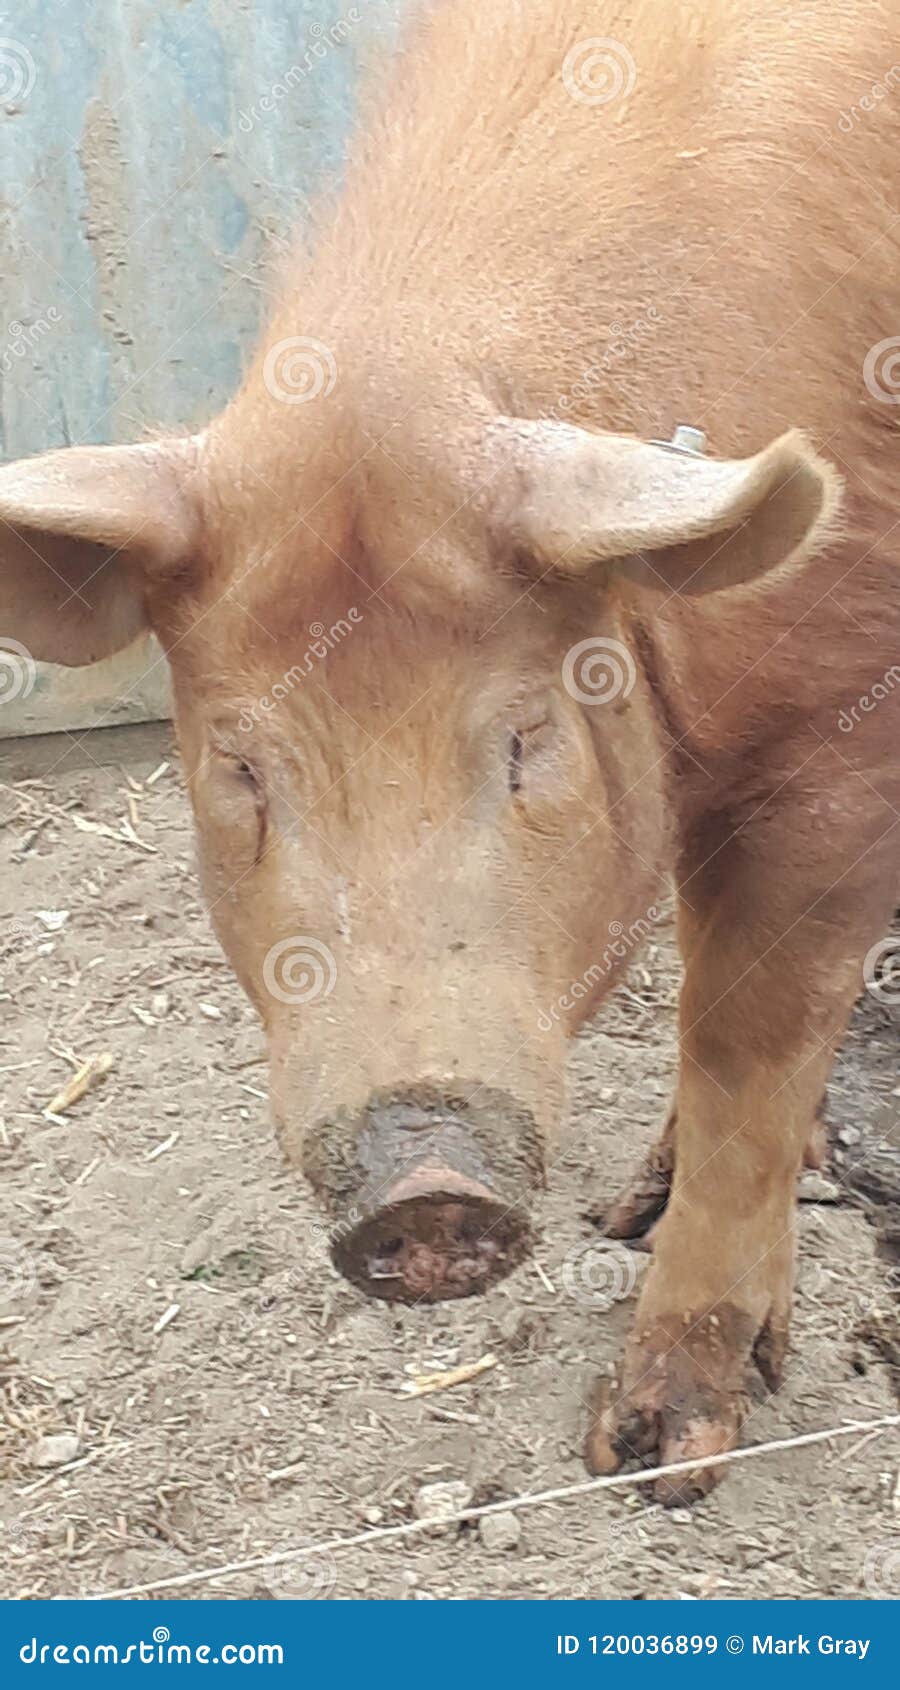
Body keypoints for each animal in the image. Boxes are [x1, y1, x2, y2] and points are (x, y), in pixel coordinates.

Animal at [2, 0, 899, 1503]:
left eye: (528, 734)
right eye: (240, 766)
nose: (426, 1189)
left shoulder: (838, 728)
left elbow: (743, 1038)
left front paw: (654, 1461)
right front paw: (631, 1223)